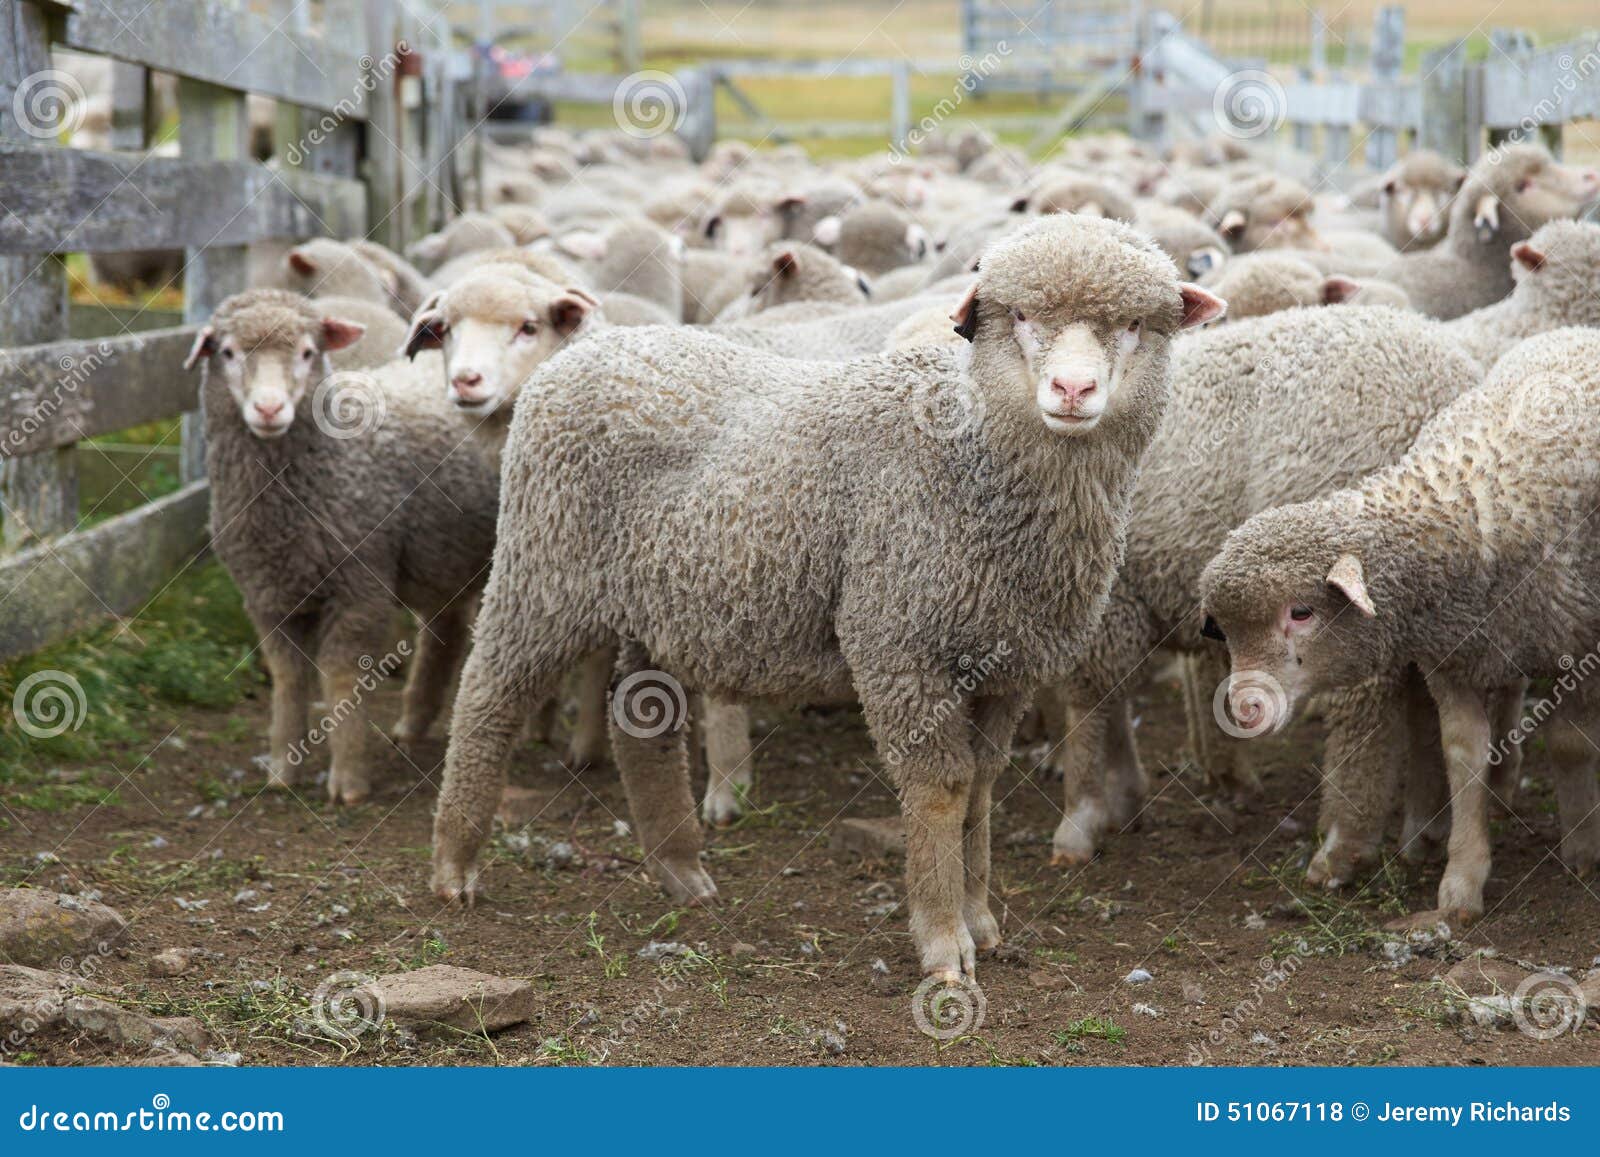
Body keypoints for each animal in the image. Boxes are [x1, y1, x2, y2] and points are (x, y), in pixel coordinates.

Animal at [185, 289, 500, 804]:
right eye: (227, 352)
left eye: (307, 353)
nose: (269, 409)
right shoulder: (267, 596)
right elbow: (288, 677)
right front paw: (281, 768)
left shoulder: (359, 588)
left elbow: (341, 675)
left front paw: (349, 779)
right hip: (441, 551)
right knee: (447, 627)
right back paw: (413, 722)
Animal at [1047, 306, 1484, 885]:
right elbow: (1109, 696)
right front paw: (1122, 795)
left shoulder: (1107, 595)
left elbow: (1089, 701)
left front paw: (1083, 814)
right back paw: (1423, 832)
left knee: (1363, 708)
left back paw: (1342, 845)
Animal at [1198, 327, 1600, 925]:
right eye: (1225, 631)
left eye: (1301, 612)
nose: (1245, 708)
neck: (1463, 507)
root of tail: (1578, 331)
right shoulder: (1452, 656)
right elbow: (1464, 754)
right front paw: (1462, 880)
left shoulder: (1584, 644)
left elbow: (1573, 744)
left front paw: (1583, 848)